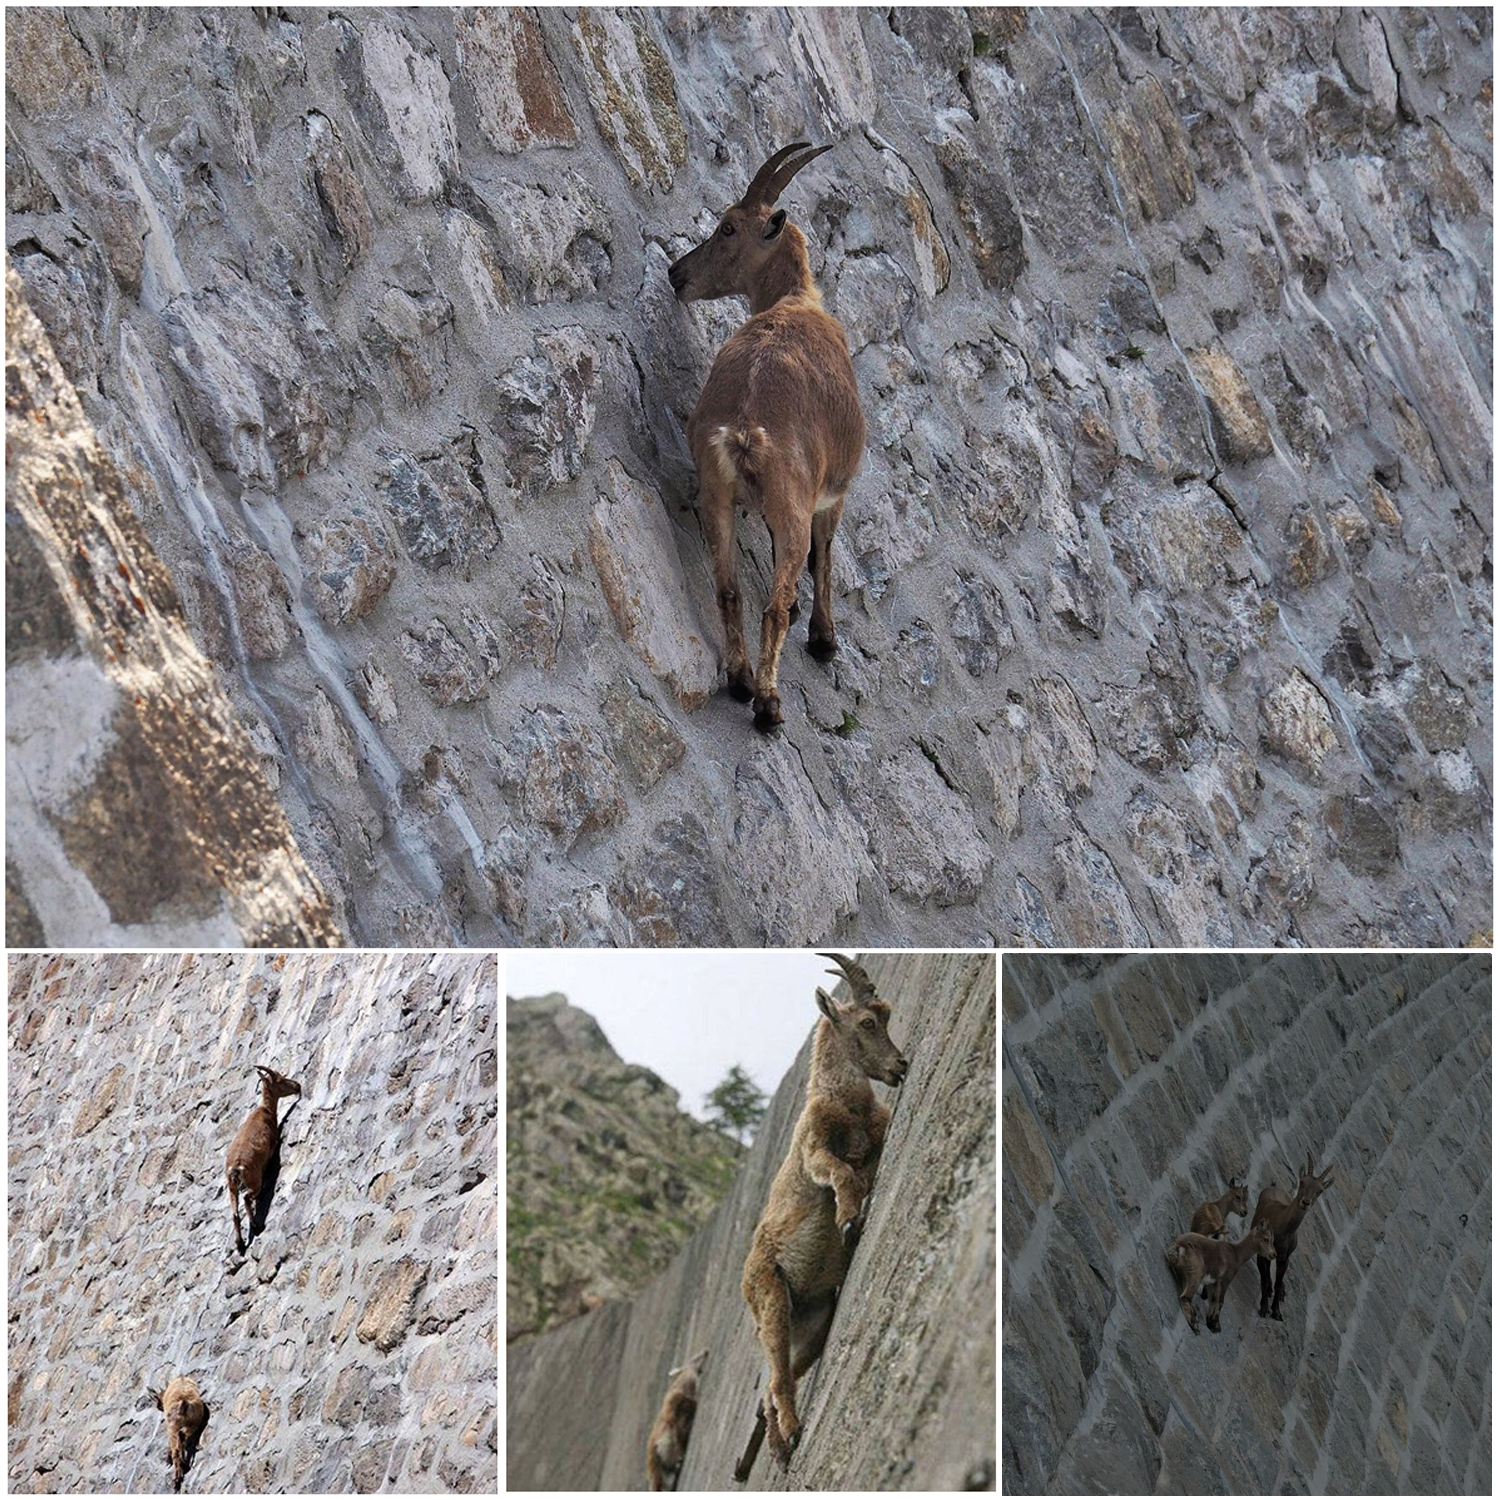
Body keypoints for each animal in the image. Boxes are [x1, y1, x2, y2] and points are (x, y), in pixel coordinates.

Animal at [225, 1065, 301, 1254]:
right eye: (281, 1080)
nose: (297, 1086)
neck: (265, 1110)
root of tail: (235, 1169)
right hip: (254, 1180)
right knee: (247, 1198)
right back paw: (256, 1226)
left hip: (231, 1189)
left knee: (234, 1213)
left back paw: (239, 1244)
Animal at [668, 141, 865, 732]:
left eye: (729, 228)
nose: (676, 273)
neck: (795, 299)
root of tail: (745, 430)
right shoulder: (832, 493)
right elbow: (824, 556)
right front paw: (824, 637)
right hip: (789, 497)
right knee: (773, 601)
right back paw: (769, 703)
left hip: (716, 497)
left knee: (729, 589)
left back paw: (738, 678)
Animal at [734, 953, 907, 1478]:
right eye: (867, 1021)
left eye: (886, 1017)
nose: (900, 1065)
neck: (843, 1103)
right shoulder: (814, 1152)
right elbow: (842, 1174)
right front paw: (849, 1221)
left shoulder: (874, 1136)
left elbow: (863, 1167)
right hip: (772, 1298)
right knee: (776, 1382)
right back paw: (789, 1436)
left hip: (813, 1318)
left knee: (773, 1388)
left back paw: (774, 1448)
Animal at [1253, 1150, 1335, 1320]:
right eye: (1302, 1182)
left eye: (1320, 1190)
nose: (1306, 1202)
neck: (1282, 1230)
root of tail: (1274, 1187)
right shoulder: (1262, 1254)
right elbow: (1263, 1279)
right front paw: (1264, 1309)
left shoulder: (1285, 1258)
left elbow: (1278, 1283)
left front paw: (1276, 1312)